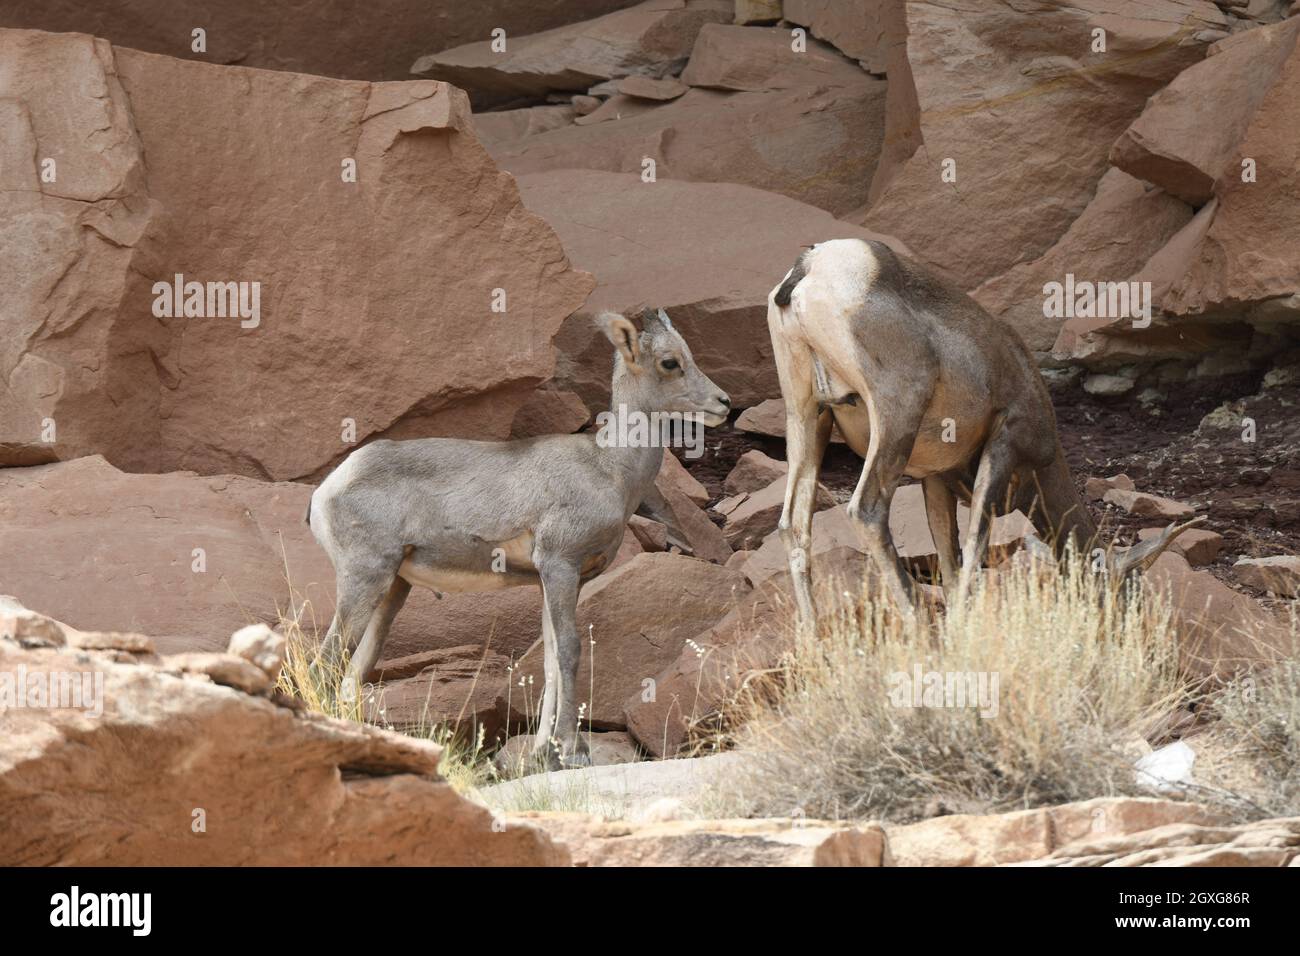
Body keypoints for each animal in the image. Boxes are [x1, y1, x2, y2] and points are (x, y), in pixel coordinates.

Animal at [307, 309, 730, 770]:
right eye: (670, 362)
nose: (723, 403)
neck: (611, 470)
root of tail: (327, 489)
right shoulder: (560, 566)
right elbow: (569, 650)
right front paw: (573, 751)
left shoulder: (555, 580)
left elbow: (549, 660)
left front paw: (545, 753)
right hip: (365, 578)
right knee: (325, 664)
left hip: (393, 590)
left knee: (351, 674)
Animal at [767, 237, 1200, 619]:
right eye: (1126, 596)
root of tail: (812, 266)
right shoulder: (1003, 448)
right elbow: (975, 548)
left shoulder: (935, 479)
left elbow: (950, 561)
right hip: (895, 416)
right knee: (866, 511)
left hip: (808, 416)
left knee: (793, 526)